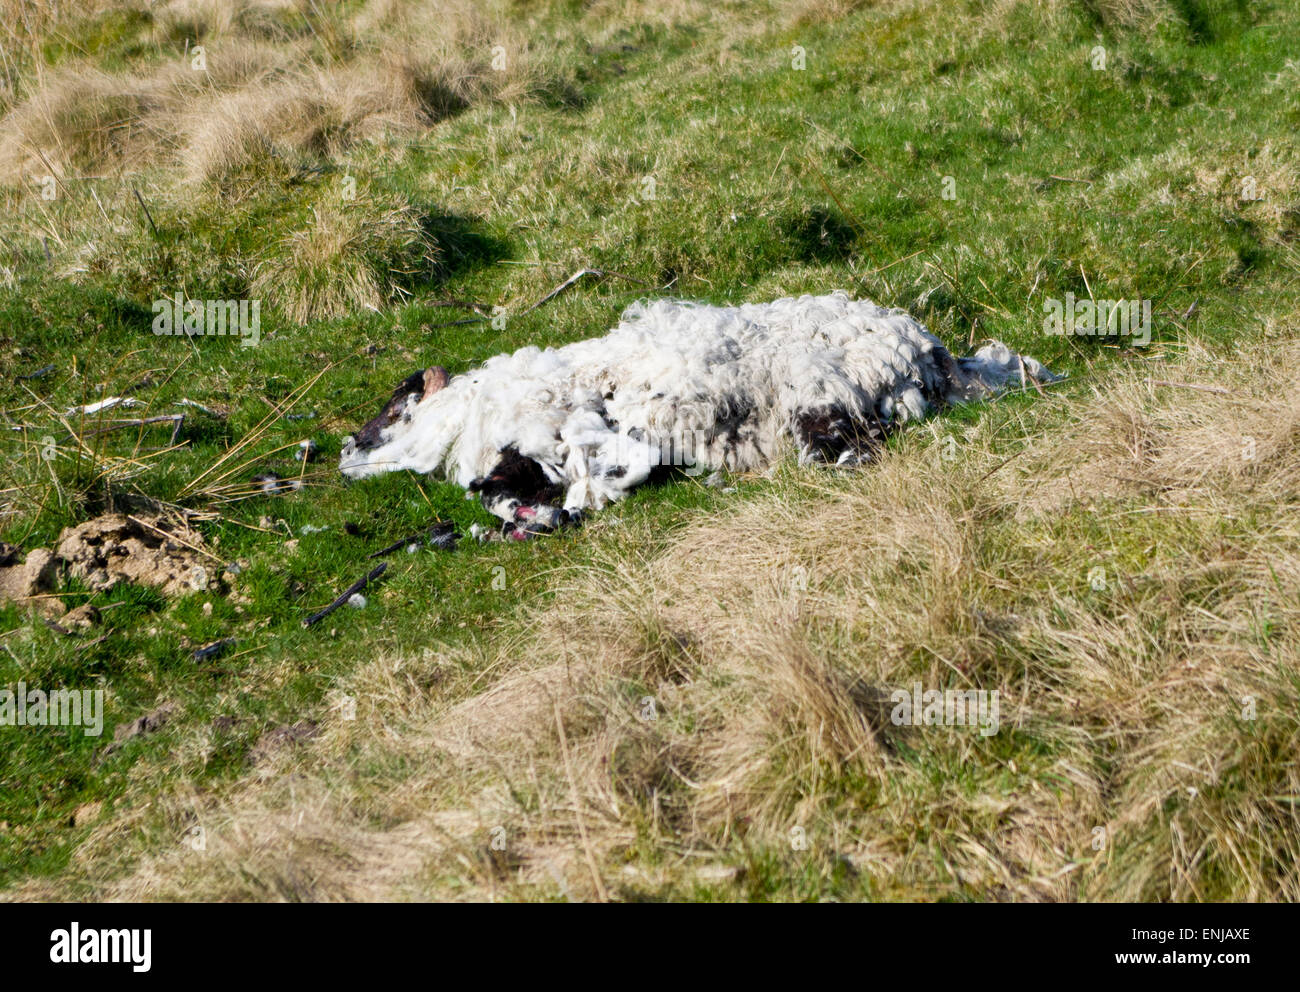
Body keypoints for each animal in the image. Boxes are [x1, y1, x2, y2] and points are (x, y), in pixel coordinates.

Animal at [339, 292, 1057, 537]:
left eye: (393, 402)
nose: (346, 446)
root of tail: (931, 351)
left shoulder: (557, 433)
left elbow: (517, 485)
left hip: (817, 401)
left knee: (852, 450)